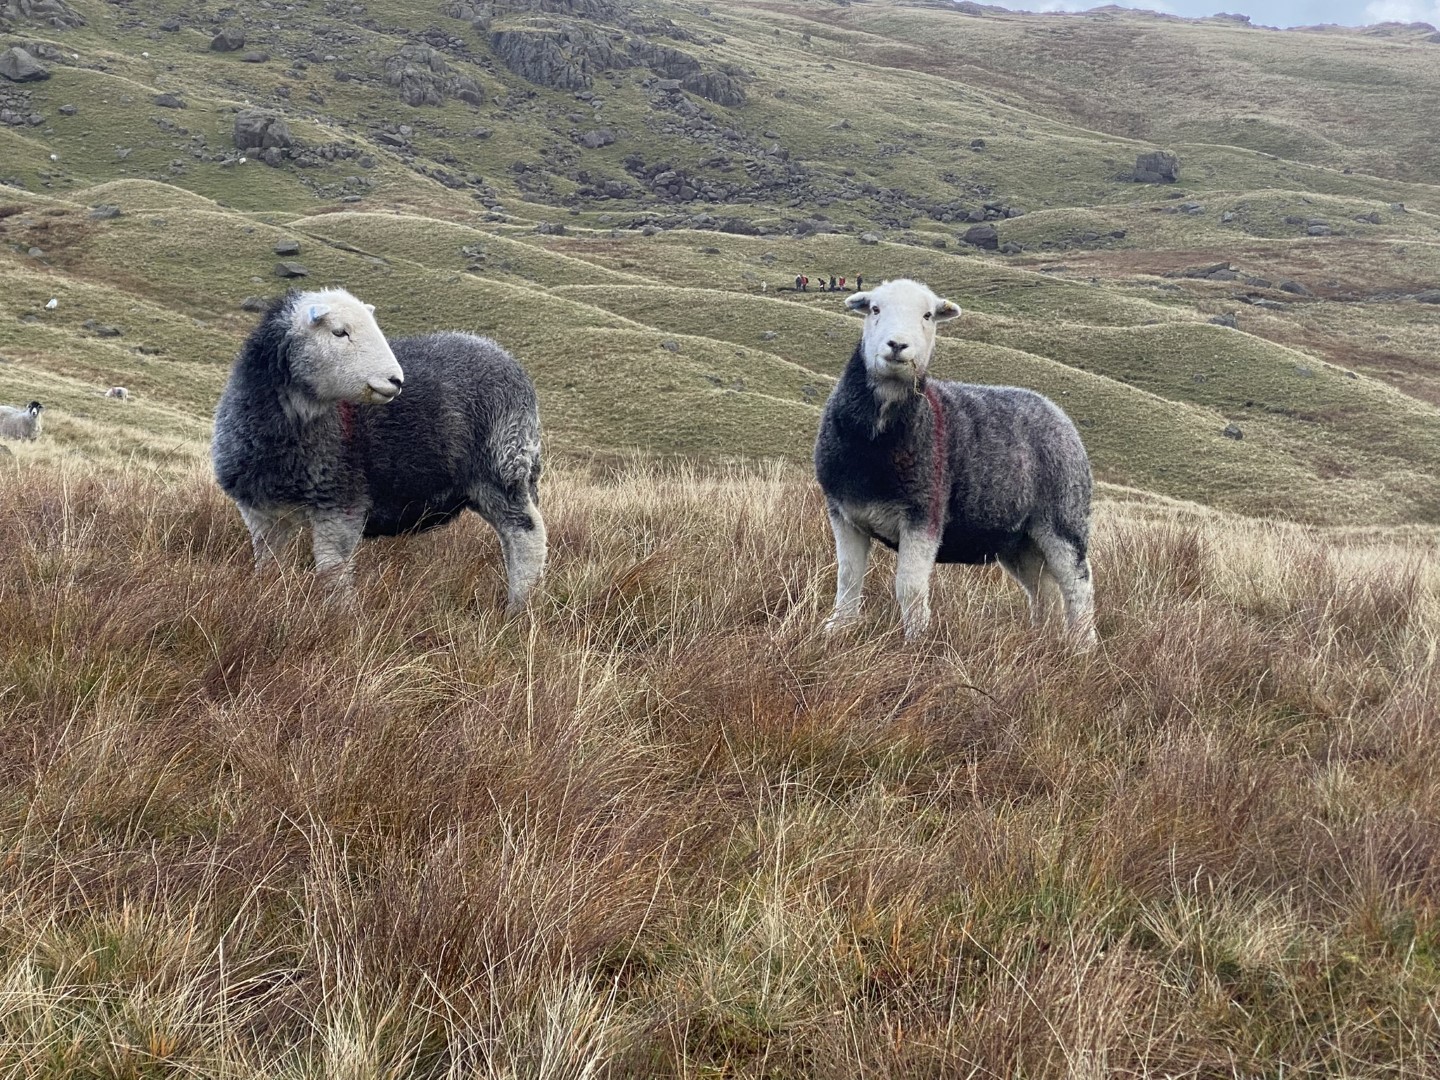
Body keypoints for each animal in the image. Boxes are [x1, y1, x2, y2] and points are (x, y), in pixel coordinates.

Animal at [212, 288, 546, 611]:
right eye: (339, 332)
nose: (396, 380)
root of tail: (508, 360)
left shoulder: (340, 504)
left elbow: (333, 572)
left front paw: (338, 617)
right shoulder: (261, 513)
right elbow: (269, 564)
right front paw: (268, 595)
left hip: (503, 466)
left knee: (527, 535)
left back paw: (520, 605)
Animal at [814, 278, 1096, 647]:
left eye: (928, 315)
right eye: (875, 309)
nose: (897, 345)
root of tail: (1055, 410)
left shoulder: (924, 513)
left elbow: (910, 587)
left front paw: (915, 641)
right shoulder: (844, 513)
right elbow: (847, 576)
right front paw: (839, 627)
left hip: (1063, 516)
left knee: (1078, 584)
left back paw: (1083, 645)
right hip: (1019, 539)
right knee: (1043, 588)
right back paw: (1041, 637)